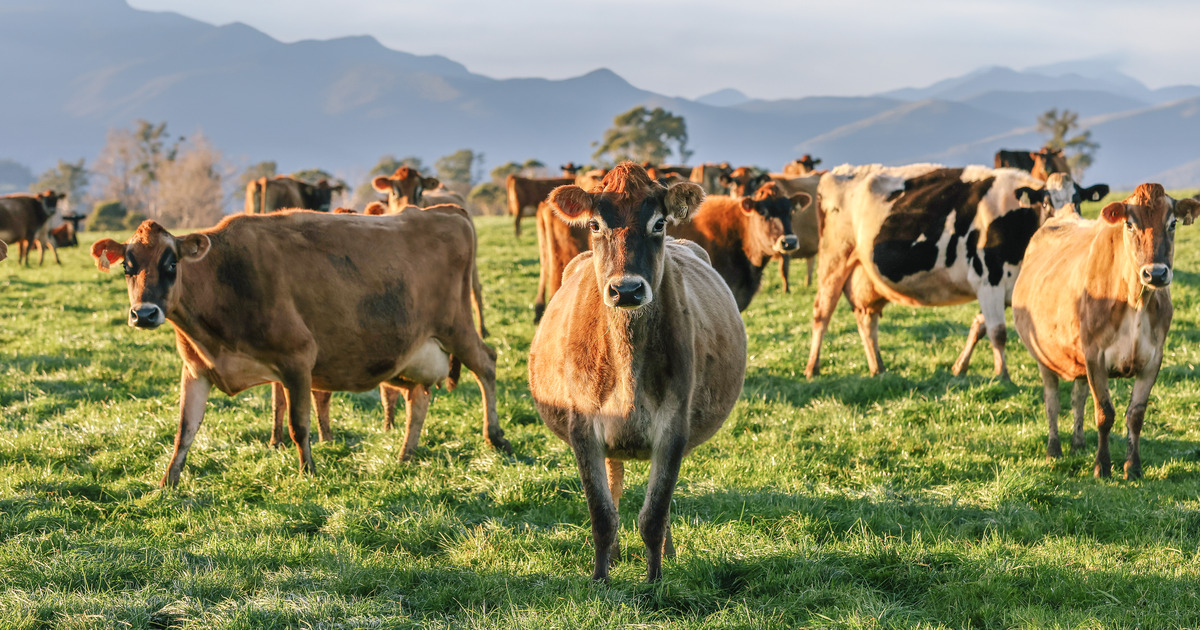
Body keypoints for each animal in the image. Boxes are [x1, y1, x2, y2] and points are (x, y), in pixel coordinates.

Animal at [90, 208, 509, 487]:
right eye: (127, 266)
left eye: (172, 263)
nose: (144, 313)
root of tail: (445, 211)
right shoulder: (195, 370)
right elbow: (184, 431)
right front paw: (167, 483)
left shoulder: (297, 359)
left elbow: (298, 426)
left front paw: (308, 473)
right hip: (407, 353)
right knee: (418, 398)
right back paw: (405, 455)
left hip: (456, 326)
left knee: (487, 364)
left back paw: (495, 437)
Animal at [529, 162, 745, 583]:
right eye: (595, 224)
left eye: (659, 223)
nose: (627, 290)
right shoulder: (583, 428)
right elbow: (602, 514)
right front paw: (599, 578)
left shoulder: (674, 428)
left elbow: (654, 513)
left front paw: (655, 579)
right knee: (614, 487)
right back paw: (613, 555)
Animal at [806, 164, 1049, 379]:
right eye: (1047, 205)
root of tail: (840, 170)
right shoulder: (988, 278)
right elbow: (997, 332)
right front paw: (1003, 376)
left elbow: (979, 327)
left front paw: (959, 368)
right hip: (834, 260)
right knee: (822, 313)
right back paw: (812, 368)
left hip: (865, 276)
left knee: (866, 319)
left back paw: (878, 368)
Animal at [1014, 183, 1200, 479]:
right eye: (1129, 224)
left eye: (1172, 223)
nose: (1156, 274)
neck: (1135, 300)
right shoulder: (1094, 356)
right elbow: (1104, 413)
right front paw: (1102, 466)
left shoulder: (1152, 358)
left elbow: (1135, 415)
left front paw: (1133, 467)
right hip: (1043, 354)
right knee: (1052, 400)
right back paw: (1054, 450)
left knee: (1077, 396)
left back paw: (1078, 445)